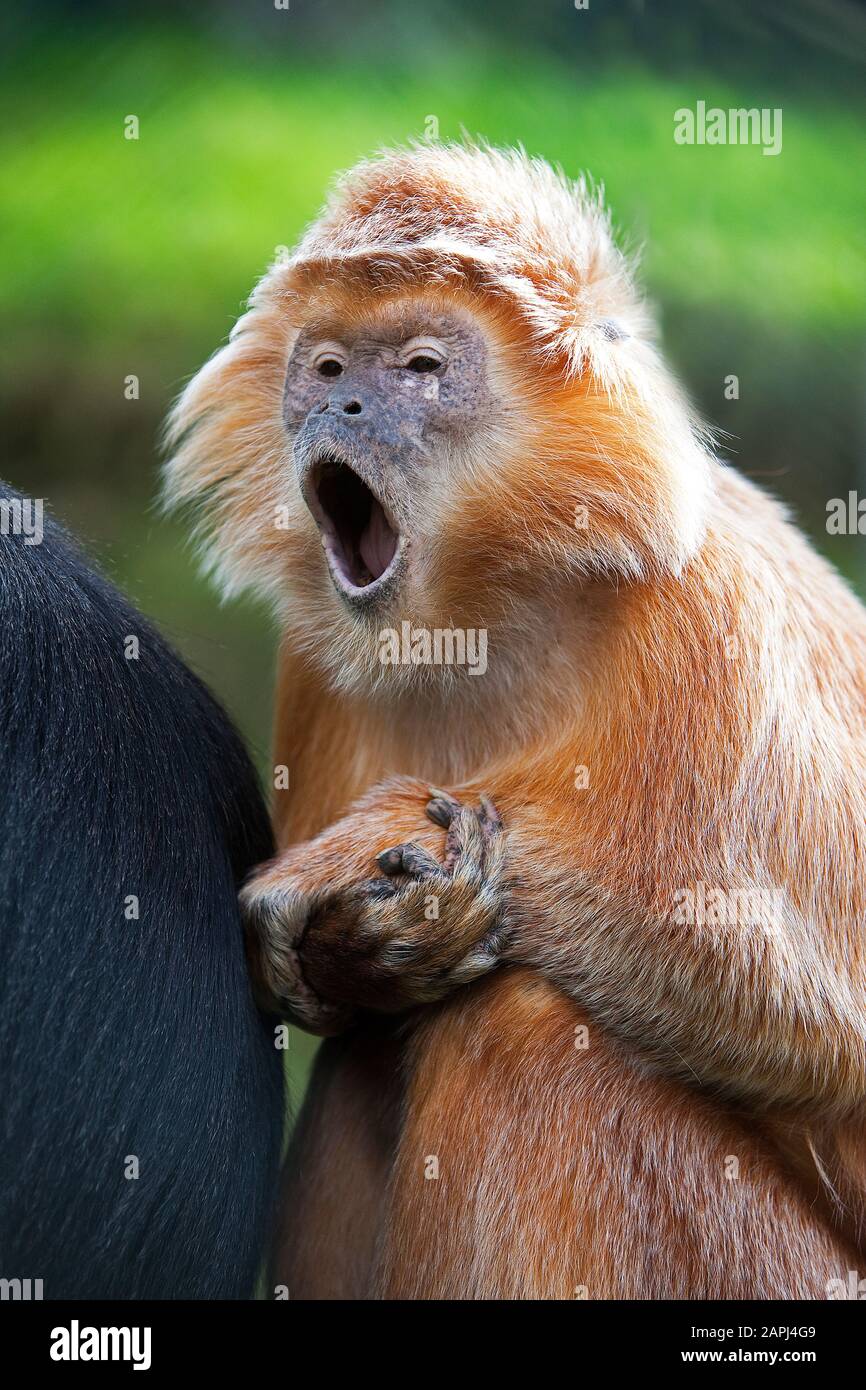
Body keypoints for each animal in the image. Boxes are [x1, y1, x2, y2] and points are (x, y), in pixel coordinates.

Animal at [164, 143, 866, 1298]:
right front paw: (361, 946)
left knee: (521, 1019)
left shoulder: (705, 617)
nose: (340, 410)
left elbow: (826, 1031)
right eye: (326, 369)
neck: (487, 608)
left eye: (417, 367)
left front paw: (364, 847)